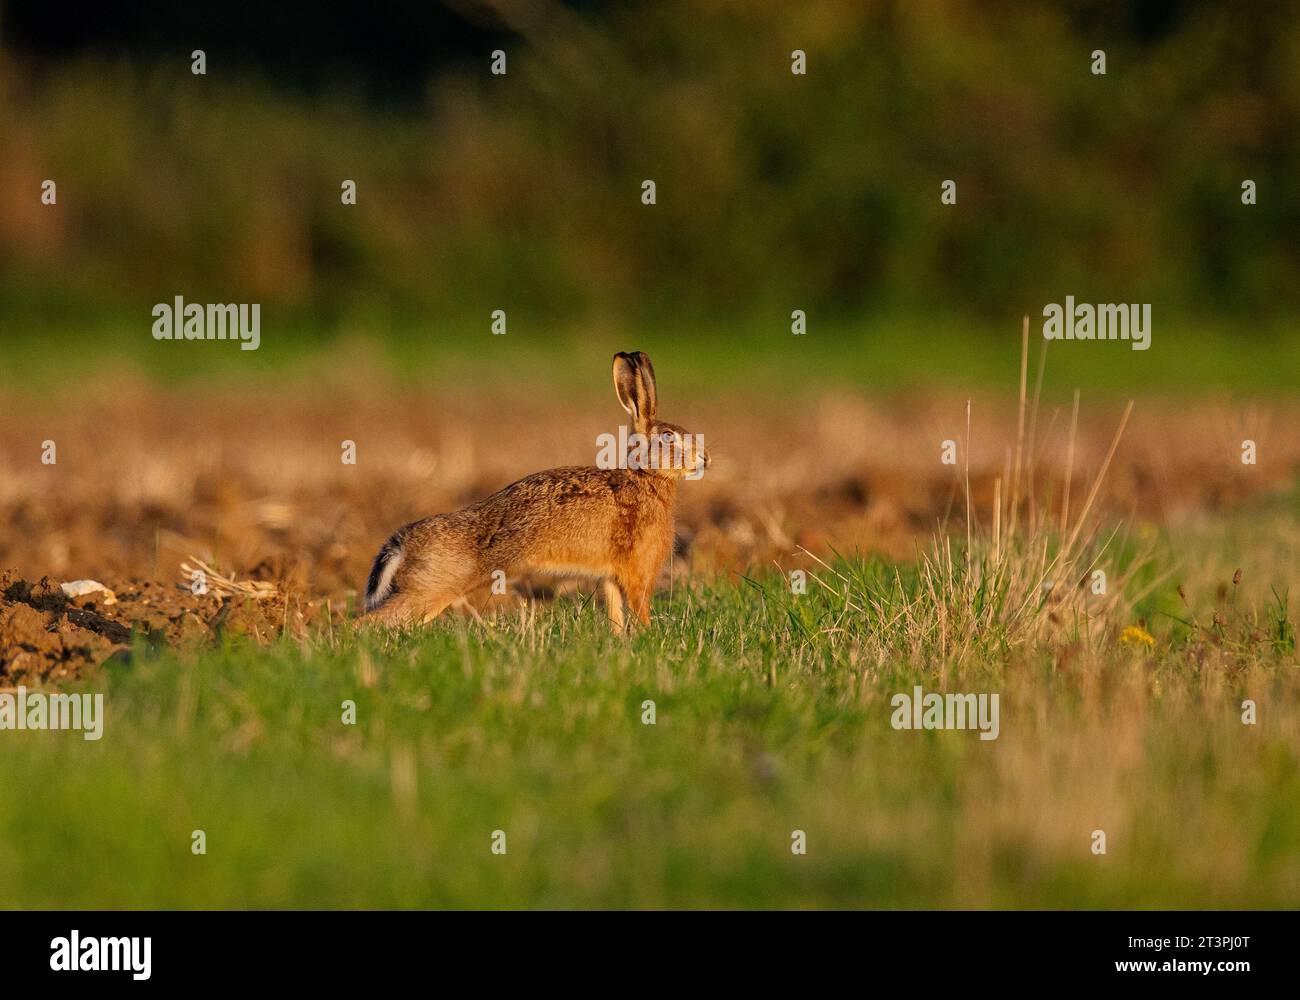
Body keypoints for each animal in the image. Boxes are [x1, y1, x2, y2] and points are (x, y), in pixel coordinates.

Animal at [361, 351, 709, 632]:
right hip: (431, 589)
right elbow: (640, 608)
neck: (645, 477)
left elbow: (615, 612)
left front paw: (619, 641)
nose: (705, 458)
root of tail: (404, 540)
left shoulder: (610, 577)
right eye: (668, 437)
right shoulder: (639, 572)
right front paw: (647, 637)